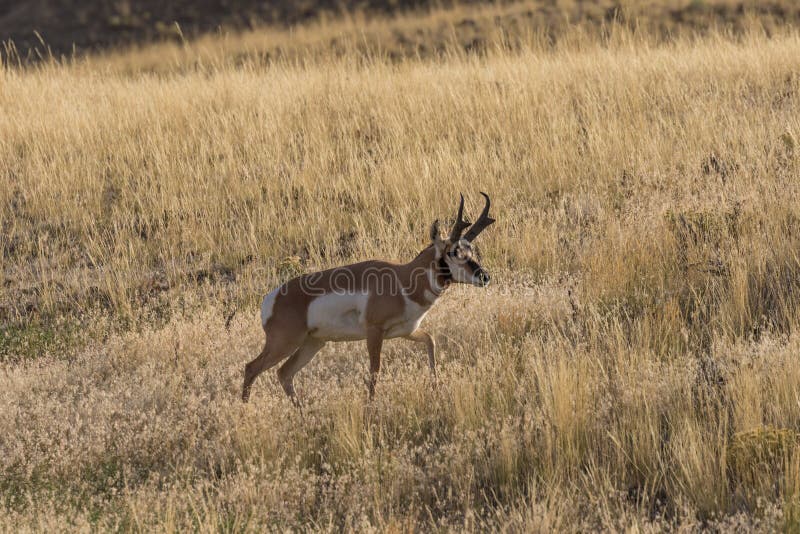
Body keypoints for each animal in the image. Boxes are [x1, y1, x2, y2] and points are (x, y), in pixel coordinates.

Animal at [241, 193, 496, 403]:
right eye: (453, 252)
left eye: (471, 250)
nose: (485, 276)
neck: (402, 279)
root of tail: (271, 299)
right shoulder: (374, 332)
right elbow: (375, 370)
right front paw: (370, 407)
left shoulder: (406, 331)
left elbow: (430, 341)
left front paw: (435, 387)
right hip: (284, 343)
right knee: (251, 368)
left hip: (312, 343)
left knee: (284, 373)